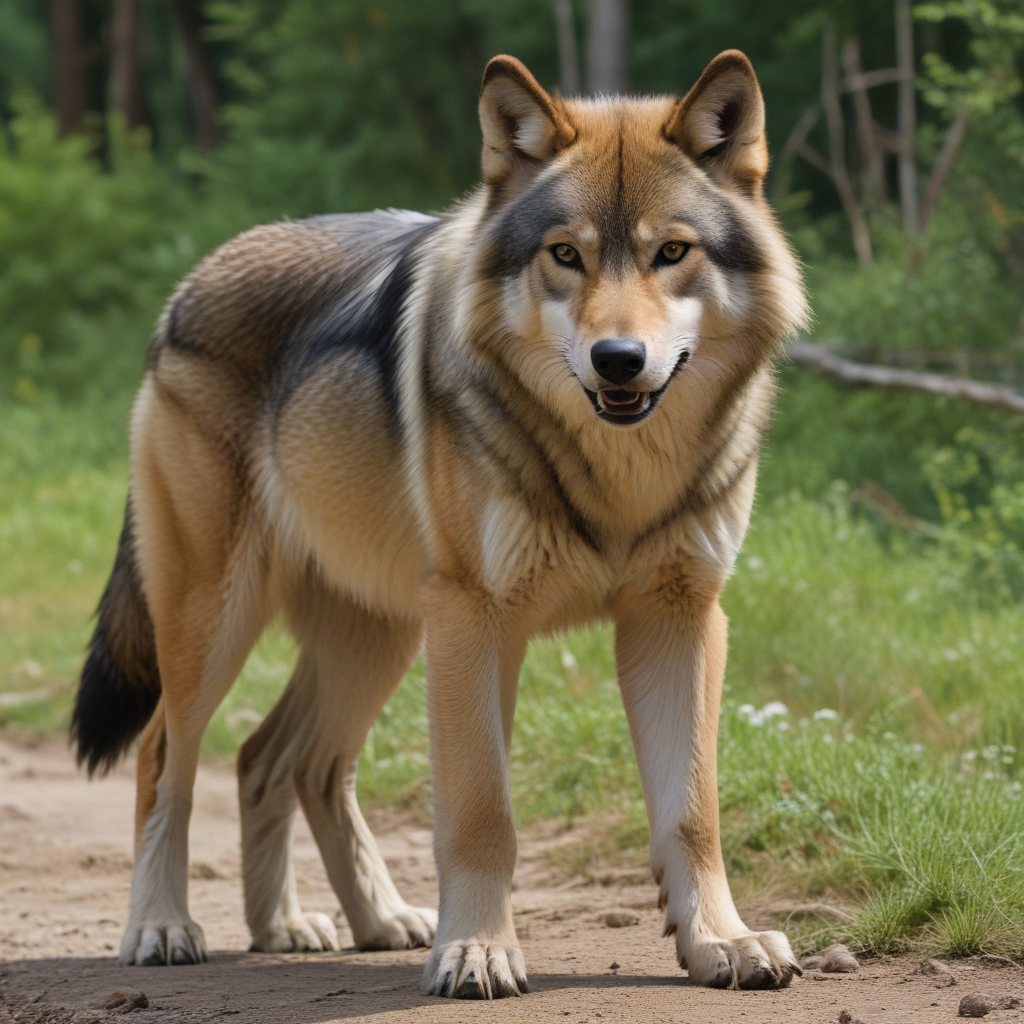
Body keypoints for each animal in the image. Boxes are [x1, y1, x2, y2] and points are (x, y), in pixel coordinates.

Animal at [71, 50, 807, 998]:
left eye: (671, 252)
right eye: (565, 255)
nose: (618, 361)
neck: (617, 479)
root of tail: (187, 288)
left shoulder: (681, 619)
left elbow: (692, 813)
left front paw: (722, 941)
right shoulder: (473, 621)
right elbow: (481, 810)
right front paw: (479, 951)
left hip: (378, 634)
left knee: (279, 761)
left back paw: (329, 924)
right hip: (219, 624)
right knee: (168, 752)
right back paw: (164, 926)